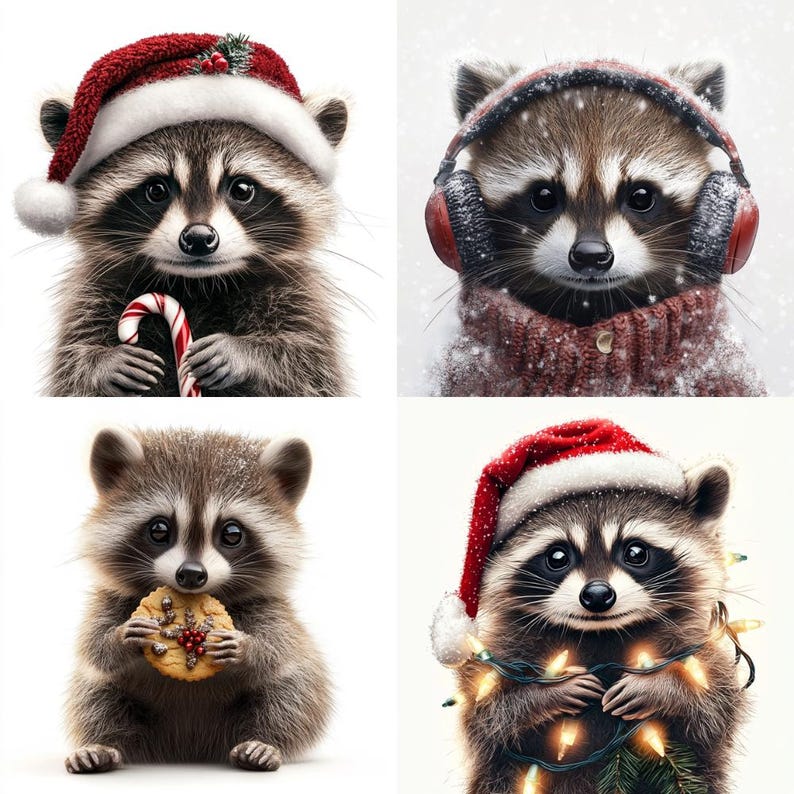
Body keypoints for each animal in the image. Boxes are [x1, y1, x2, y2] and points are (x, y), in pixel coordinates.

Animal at [40, 99, 351, 396]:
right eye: (156, 190)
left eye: (241, 189)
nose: (199, 238)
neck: (198, 286)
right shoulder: (90, 296)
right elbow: (73, 367)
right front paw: (104, 362)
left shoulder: (301, 299)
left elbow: (306, 360)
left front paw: (243, 351)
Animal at [65, 427, 331, 772]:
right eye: (159, 529)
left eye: (231, 533)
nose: (191, 575)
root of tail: (188, 749)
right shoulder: (110, 601)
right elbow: (93, 647)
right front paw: (120, 637)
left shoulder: (270, 607)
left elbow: (280, 650)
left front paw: (248, 648)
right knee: (96, 698)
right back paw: (104, 744)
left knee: (292, 694)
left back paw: (264, 742)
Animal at [455, 463, 744, 794]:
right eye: (557, 557)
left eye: (635, 553)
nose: (596, 595)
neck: (603, 633)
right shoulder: (497, 657)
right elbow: (485, 711)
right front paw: (549, 690)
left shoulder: (700, 650)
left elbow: (716, 702)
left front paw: (657, 686)